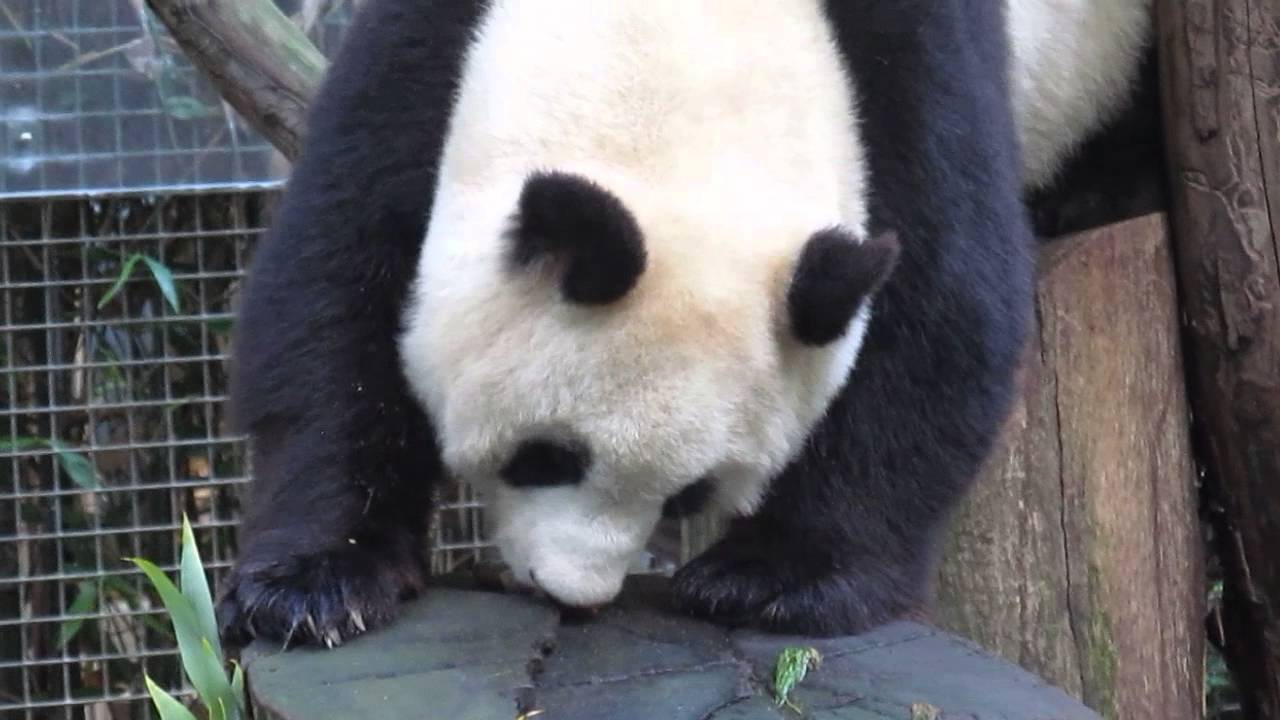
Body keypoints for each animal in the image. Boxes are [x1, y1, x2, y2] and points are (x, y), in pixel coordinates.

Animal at [216, 0, 1153, 647]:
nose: (572, 595)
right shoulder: (424, 40)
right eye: (544, 456)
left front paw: (775, 578)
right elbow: (339, 261)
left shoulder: (919, 51)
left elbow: (944, 293)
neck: (674, 36)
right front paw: (313, 586)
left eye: (691, 495)